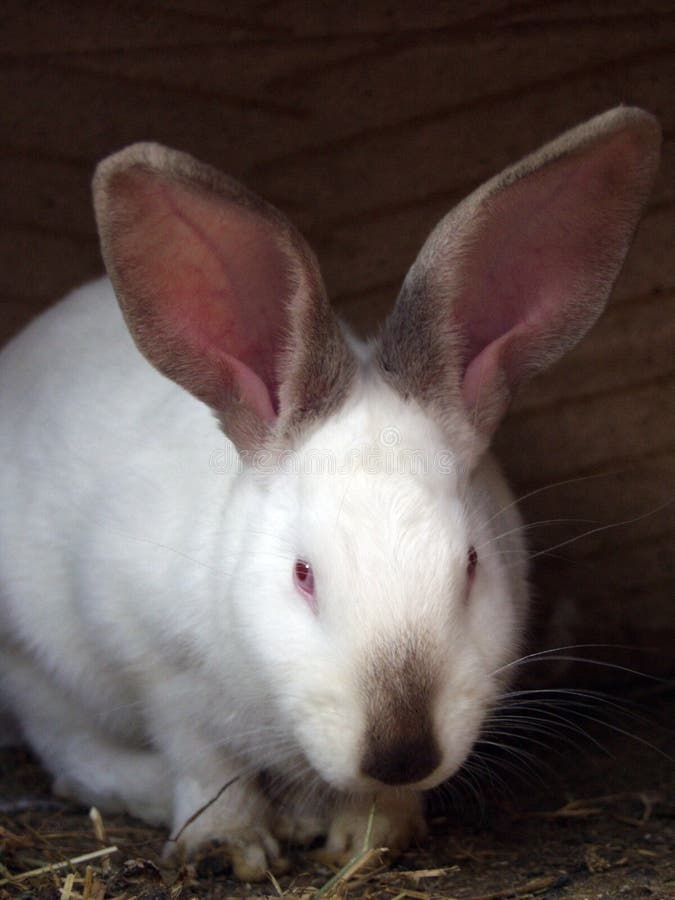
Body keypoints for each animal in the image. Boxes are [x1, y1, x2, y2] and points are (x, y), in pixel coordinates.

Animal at [0, 107, 660, 880]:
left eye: (470, 566)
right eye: (302, 574)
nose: (402, 752)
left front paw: (369, 838)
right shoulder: (163, 671)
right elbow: (208, 767)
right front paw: (227, 842)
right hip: (34, 662)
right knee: (72, 757)